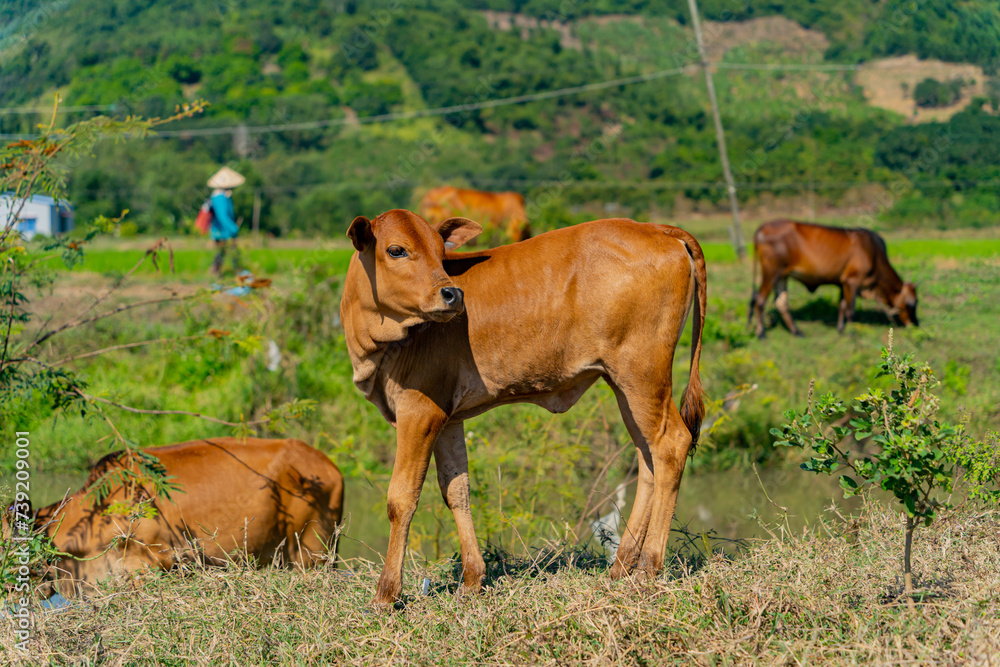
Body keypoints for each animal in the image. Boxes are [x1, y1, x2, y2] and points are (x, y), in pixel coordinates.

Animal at [340, 209, 706, 605]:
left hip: (642, 373)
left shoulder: (419, 410)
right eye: (396, 250)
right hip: (624, 384)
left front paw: (386, 593)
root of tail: (656, 228)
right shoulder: (448, 417)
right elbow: (457, 491)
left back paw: (647, 569)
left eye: (441, 252)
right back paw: (621, 567)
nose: (452, 294)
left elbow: (401, 498)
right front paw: (472, 580)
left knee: (670, 445)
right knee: (647, 458)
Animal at [748, 219, 918, 338]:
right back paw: (761, 334)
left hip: (782, 276)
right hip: (771, 272)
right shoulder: (852, 281)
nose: (915, 323)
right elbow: (850, 310)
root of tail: (763, 227)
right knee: (760, 300)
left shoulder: (843, 283)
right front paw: (851, 333)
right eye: (911, 303)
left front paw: (841, 330)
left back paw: (797, 332)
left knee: (781, 303)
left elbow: (842, 305)